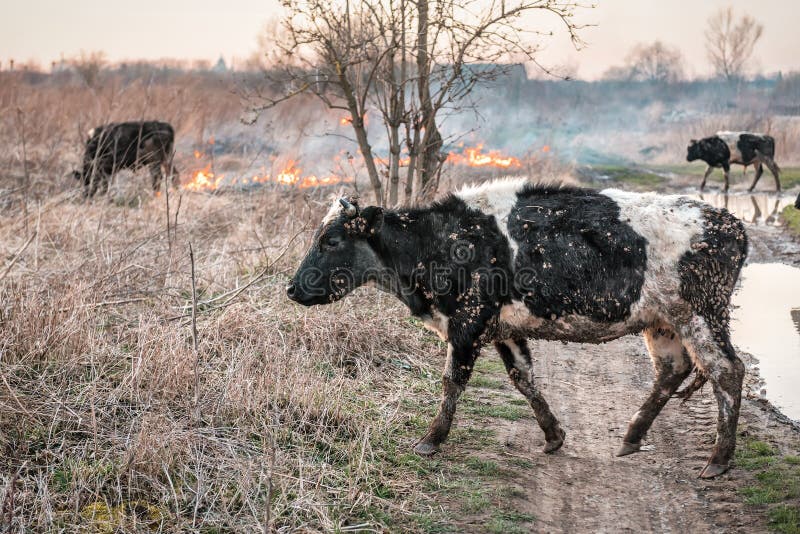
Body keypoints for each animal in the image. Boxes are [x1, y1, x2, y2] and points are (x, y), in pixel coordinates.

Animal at [287, 178, 749, 479]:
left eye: (331, 240)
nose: (291, 288)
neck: (439, 241)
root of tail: (729, 222)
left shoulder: (468, 321)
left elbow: (452, 381)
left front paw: (431, 439)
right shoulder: (501, 328)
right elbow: (522, 377)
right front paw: (553, 434)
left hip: (701, 315)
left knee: (727, 370)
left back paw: (719, 460)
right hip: (664, 322)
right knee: (672, 371)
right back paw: (632, 437)